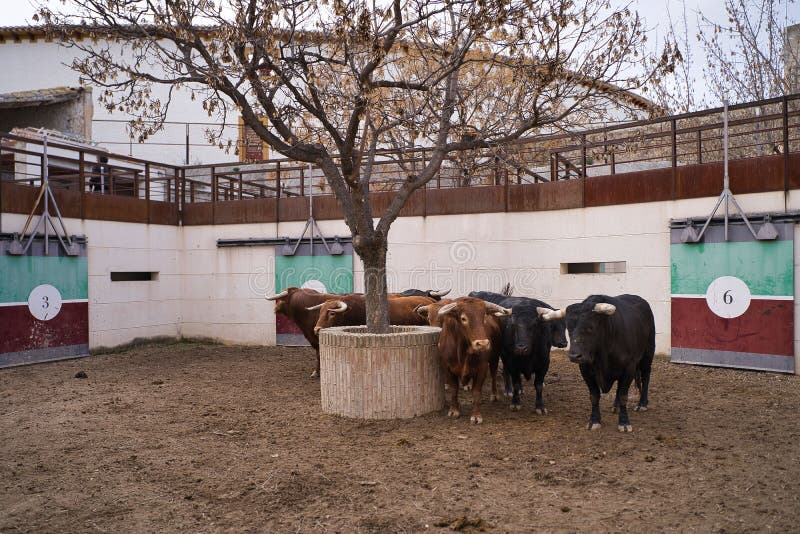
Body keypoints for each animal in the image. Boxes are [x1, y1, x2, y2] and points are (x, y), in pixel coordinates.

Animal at [540, 294, 655, 432]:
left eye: (590, 327)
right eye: (569, 328)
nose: (574, 356)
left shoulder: (629, 368)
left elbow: (623, 395)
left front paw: (624, 423)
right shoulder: (586, 370)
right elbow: (594, 396)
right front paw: (594, 421)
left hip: (648, 353)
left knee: (646, 376)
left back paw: (642, 404)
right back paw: (616, 406)